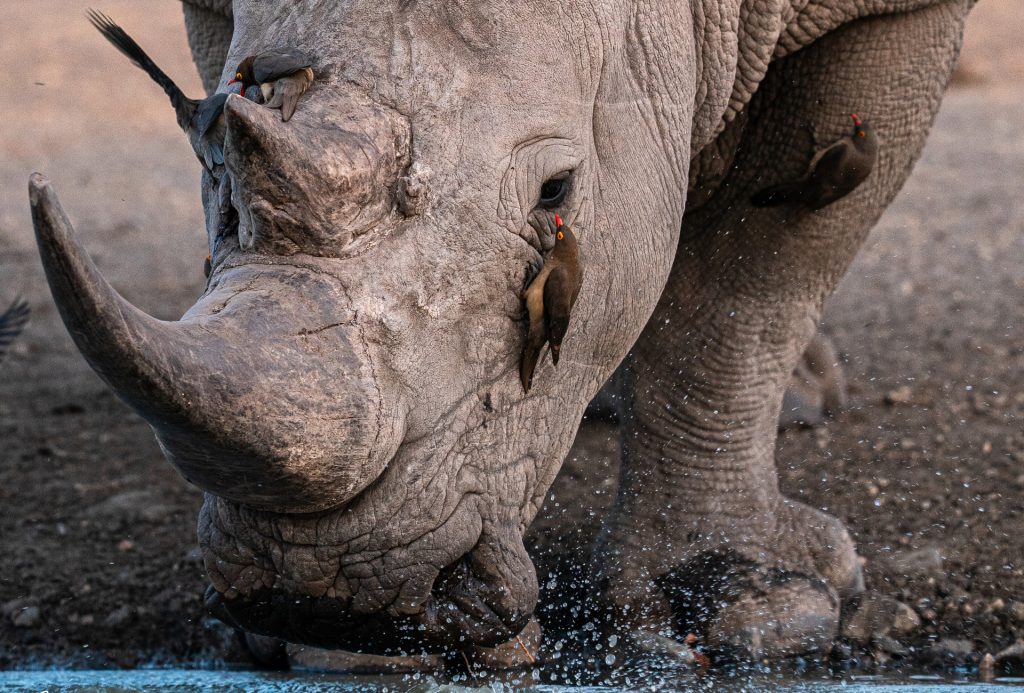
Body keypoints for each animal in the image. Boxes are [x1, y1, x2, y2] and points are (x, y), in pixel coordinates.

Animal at [31, 0, 973, 663]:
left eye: (556, 190)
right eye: (215, 179)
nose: (320, 591)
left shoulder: (891, 13)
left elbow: (747, 289)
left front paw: (748, 599)